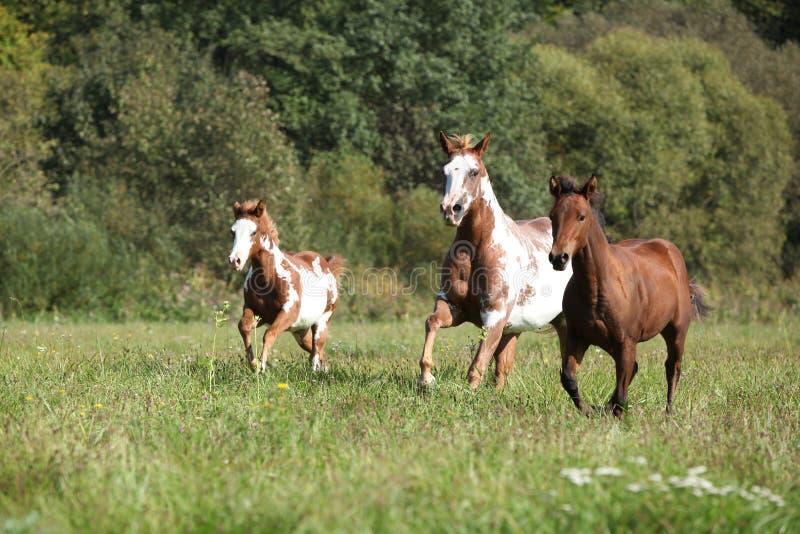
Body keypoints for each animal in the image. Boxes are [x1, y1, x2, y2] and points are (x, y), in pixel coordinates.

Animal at [228, 199, 344, 373]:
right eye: (233, 232)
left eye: (253, 232)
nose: (235, 260)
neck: (268, 280)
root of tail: (328, 268)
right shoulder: (254, 311)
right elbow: (244, 327)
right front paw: (253, 364)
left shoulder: (289, 312)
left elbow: (269, 334)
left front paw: (262, 367)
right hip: (300, 331)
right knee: (319, 353)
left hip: (322, 322)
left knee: (317, 351)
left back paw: (315, 373)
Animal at [418, 132, 574, 391]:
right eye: (445, 170)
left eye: (474, 171)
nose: (451, 209)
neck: (477, 249)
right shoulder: (452, 305)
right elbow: (432, 322)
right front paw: (426, 378)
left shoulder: (494, 318)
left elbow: (477, 367)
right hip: (517, 329)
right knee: (503, 369)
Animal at [548, 175, 710, 416]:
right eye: (552, 216)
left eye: (581, 216)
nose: (559, 258)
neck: (597, 289)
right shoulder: (578, 336)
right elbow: (569, 378)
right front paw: (590, 410)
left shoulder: (626, 342)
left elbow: (622, 396)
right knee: (634, 369)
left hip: (676, 332)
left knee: (672, 367)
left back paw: (669, 412)